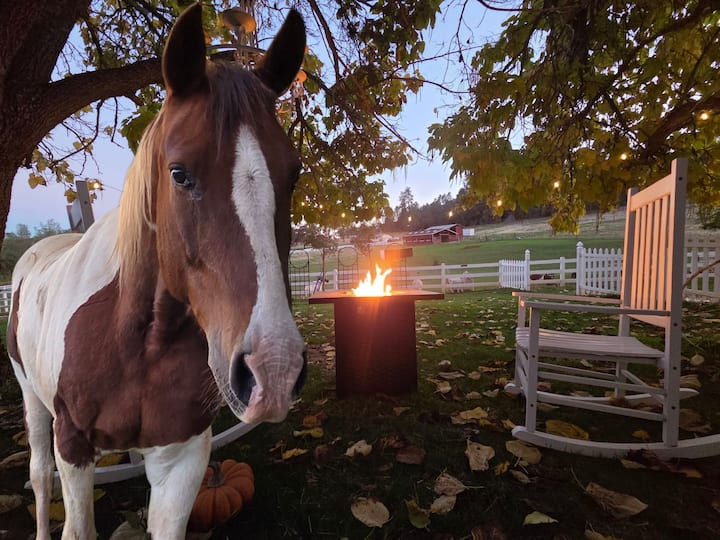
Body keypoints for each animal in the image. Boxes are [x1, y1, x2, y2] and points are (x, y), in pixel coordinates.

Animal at [6, 4, 307, 538]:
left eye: (293, 174)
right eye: (179, 174)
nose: (273, 370)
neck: (136, 341)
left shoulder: (180, 459)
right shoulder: (73, 447)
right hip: (32, 399)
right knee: (39, 476)